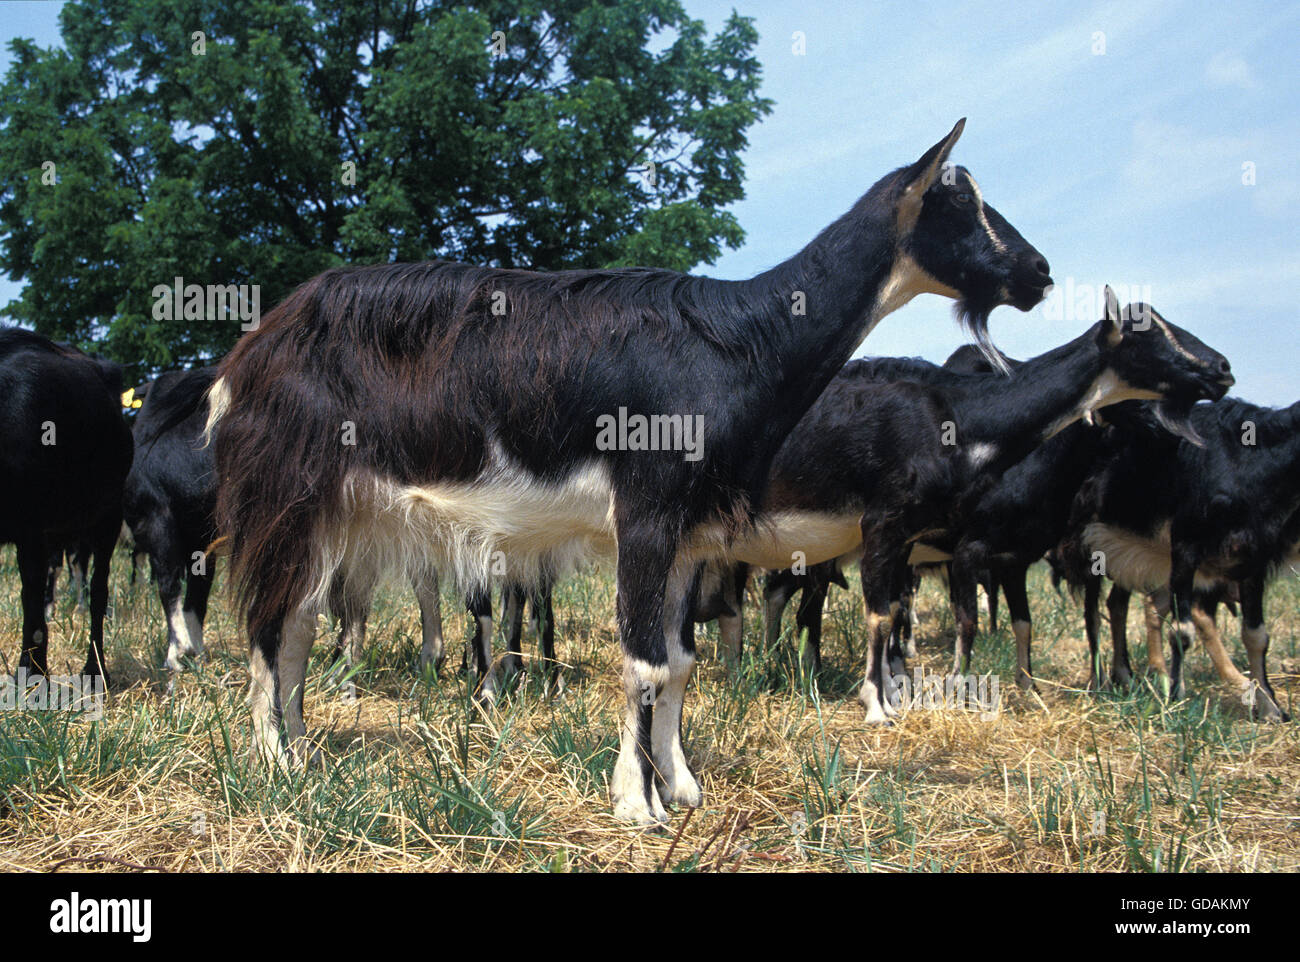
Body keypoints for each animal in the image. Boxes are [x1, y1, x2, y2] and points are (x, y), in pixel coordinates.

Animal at [0, 329, 133, 685]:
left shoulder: (31, 529)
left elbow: (32, 609)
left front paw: (33, 678)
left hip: (107, 519)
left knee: (98, 593)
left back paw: (95, 670)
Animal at [208, 121, 1055, 824]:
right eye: (960, 208)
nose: (1041, 272)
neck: (739, 340)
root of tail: (250, 356)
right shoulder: (645, 513)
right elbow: (644, 661)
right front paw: (635, 804)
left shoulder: (686, 534)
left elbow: (679, 663)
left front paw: (680, 787)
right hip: (287, 497)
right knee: (268, 623)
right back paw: (275, 764)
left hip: (330, 513)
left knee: (295, 624)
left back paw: (301, 750)